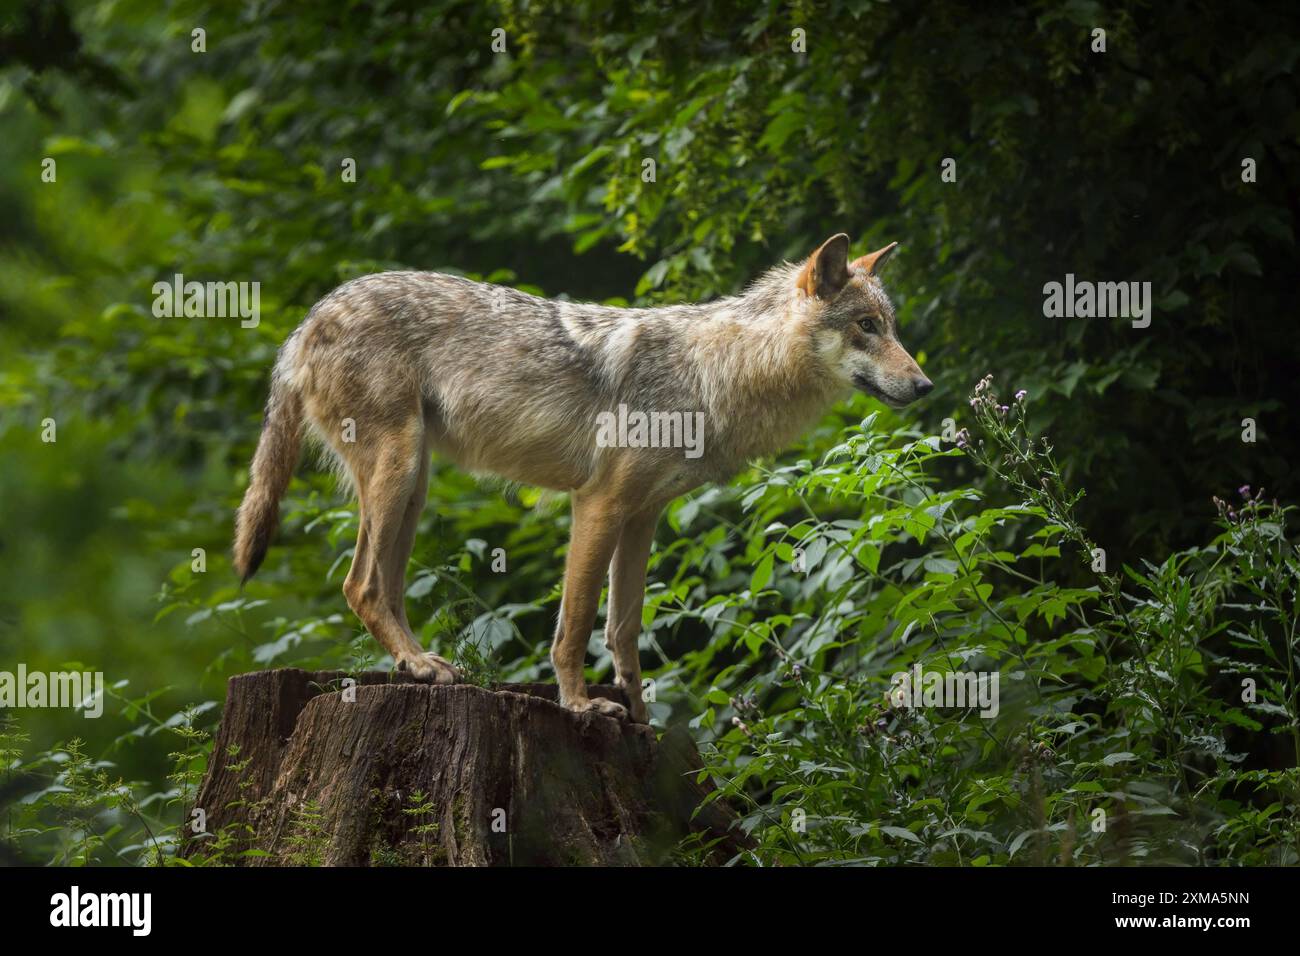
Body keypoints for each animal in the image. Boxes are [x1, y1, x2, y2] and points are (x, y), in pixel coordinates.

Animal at [233, 233, 931, 722]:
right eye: (866, 327)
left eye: (891, 327)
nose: (925, 386)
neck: (714, 373)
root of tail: (308, 320)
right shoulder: (598, 504)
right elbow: (574, 624)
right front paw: (577, 705)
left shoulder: (643, 517)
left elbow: (623, 629)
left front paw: (642, 717)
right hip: (399, 472)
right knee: (360, 586)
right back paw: (421, 666)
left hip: (414, 488)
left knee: (386, 588)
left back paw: (421, 663)